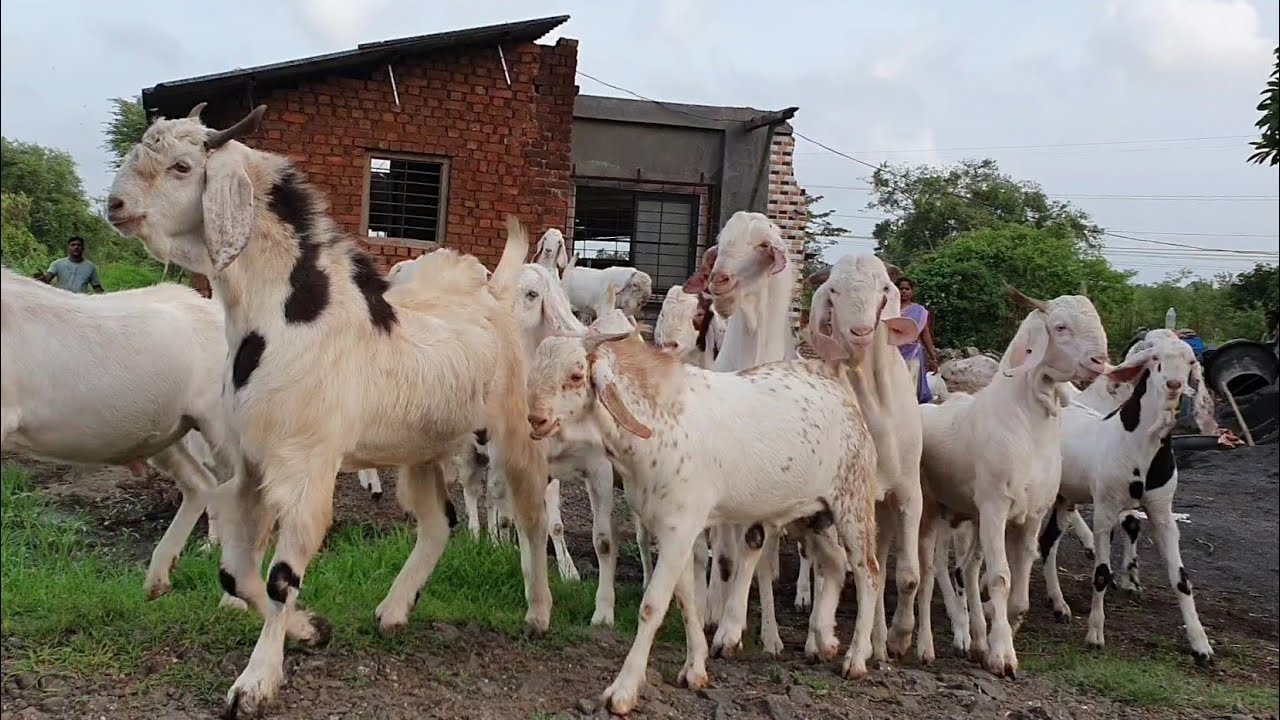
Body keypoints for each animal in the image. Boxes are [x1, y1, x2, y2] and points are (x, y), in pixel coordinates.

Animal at [107, 104, 551, 718]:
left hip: (511, 427)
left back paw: (538, 613)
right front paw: (312, 629)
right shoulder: (251, 461)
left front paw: (255, 683)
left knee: (532, 512)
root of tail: (492, 297)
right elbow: (236, 574)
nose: (114, 206)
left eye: (181, 166)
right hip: (419, 447)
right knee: (439, 523)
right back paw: (394, 610)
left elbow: (279, 576)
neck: (292, 317)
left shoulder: (306, 463)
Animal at [527, 329, 879, 715]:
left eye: (576, 375)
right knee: (836, 563)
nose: (535, 419)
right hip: (810, 513)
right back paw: (825, 639)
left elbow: (653, 606)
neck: (659, 424)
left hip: (852, 499)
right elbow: (686, 600)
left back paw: (856, 659)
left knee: (868, 572)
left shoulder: (679, 527)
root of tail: (839, 391)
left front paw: (623, 691)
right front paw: (695, 670)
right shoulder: (674, 530)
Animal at [914, 289, 1109, 676]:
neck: (1024, 423)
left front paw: (999, 635)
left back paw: (975, 638)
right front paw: (1002, 654)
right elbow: (1000, 578)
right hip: (933, 511)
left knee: (968, 568)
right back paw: (926, 645)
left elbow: (1018, 588)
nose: (1101, 360)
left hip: (968, 517)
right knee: (930, 571)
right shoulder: (994, 507)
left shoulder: (1031, 513)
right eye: (1060, 327)